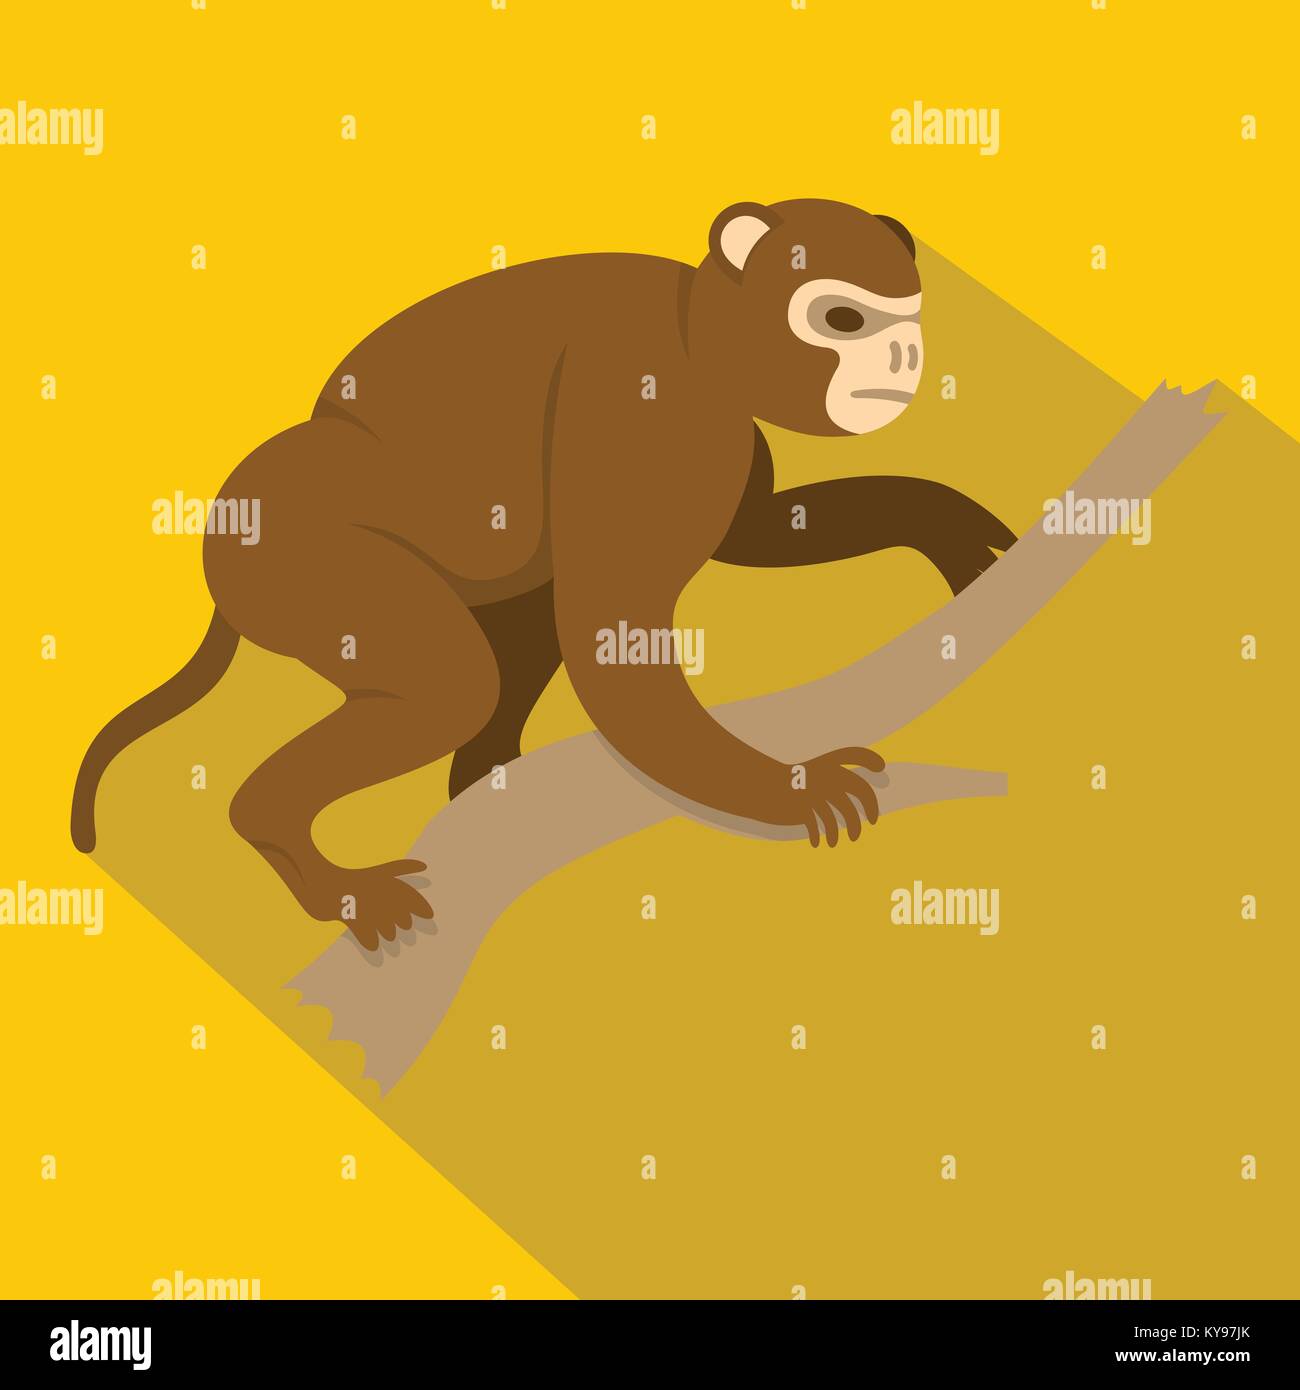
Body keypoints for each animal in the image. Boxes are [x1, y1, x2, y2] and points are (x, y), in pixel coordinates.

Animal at [72, 198, 1016, 951]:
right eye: (843, 319)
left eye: (905, 319)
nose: (904, 359)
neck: (697, 336)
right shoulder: (639, 397)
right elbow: (613, 637)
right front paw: (792, 789)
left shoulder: (717, 431)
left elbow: (758, 535)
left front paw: (948, 527)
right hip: (303, 558)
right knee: (451, 682)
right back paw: (308, 854)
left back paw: (480, 780)